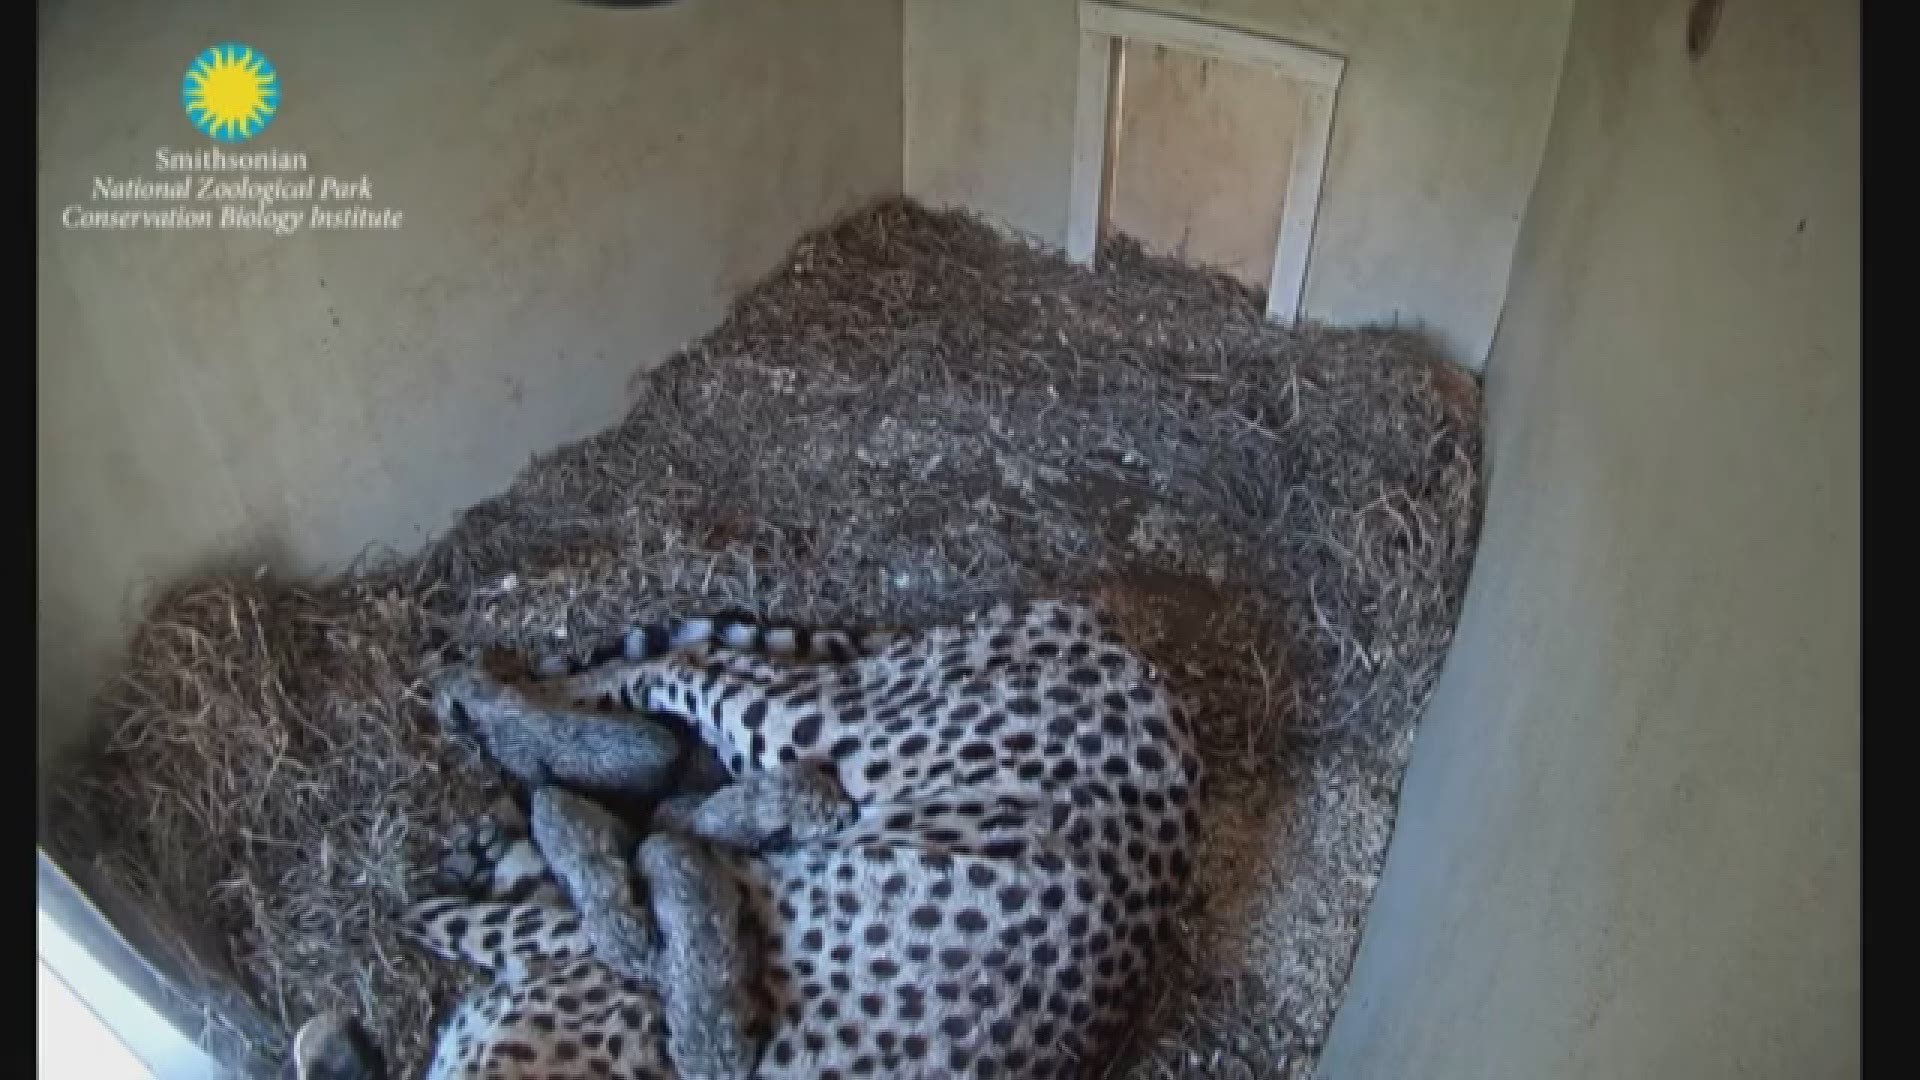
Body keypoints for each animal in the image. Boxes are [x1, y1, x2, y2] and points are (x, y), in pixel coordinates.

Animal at [291, 598, 1203, 1080]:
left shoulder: (594, 952)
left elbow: (461, 916)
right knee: (687, 672)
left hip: (829, 731)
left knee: (681, 669)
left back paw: (516, 704)